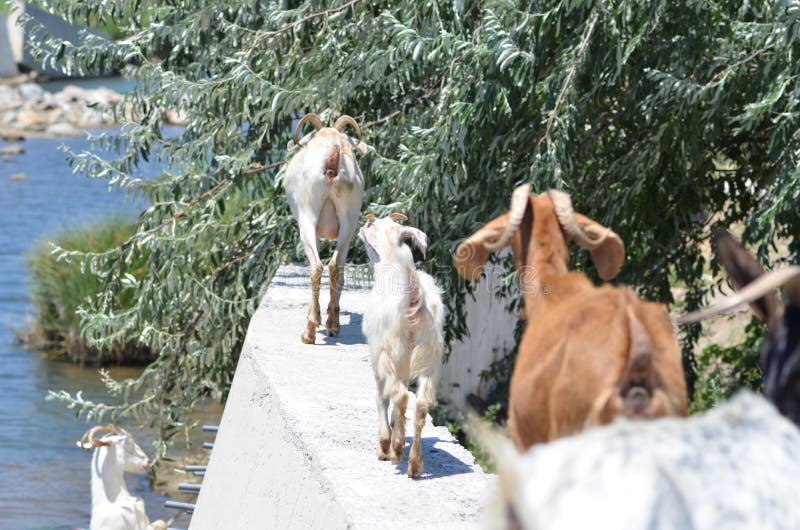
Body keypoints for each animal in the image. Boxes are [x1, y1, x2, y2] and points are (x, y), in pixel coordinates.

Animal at [284, 113, 368, 344]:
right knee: (335, 267)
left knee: (317, 267)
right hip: (349, 220)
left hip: (307, 218)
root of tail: (333, 153)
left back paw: (310, 331)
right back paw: (332, 325)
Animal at [358, 214, 444, 478]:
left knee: (401, 395)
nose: (361, 226)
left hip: (390, 353)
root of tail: (414, 300)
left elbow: (381, 398)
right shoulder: (404, 363)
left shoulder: (379, 357)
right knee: (421, 404)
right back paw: (414, 464)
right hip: (429, 358)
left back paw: (395, 449)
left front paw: (384, 445)